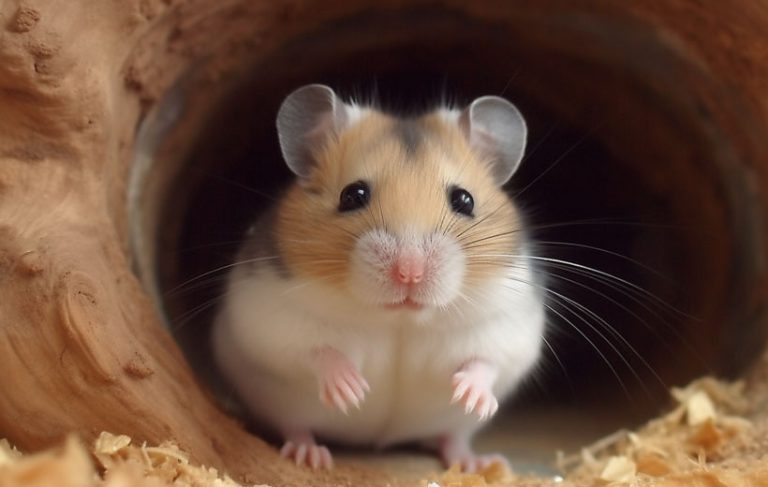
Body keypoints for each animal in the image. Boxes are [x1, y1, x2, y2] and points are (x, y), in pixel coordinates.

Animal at [212, 84, 546, 472]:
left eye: (464, 200)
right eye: (352, 195)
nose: (410, 273)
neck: (399, 318)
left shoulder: (508, 322)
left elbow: (487, 360)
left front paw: (469, 394)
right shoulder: (269, 313)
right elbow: (314, 350)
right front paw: (352, 391)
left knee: (452, 438)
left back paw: (475, 463)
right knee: (295, 426)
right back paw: (310, 456)